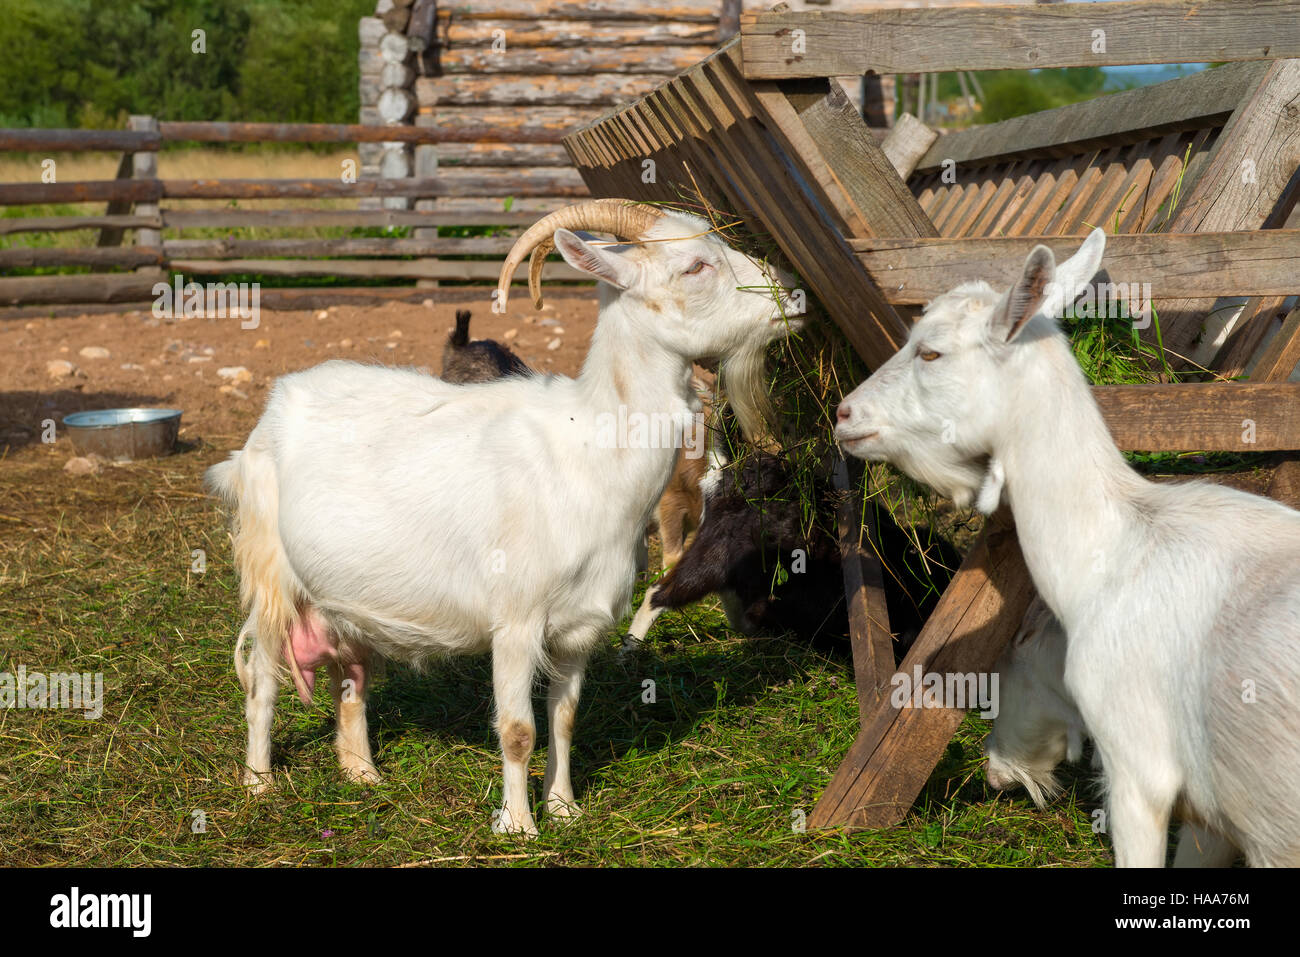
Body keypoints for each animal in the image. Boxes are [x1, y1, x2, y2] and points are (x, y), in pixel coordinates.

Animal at [206, 198, 799, 835]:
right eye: (695, 266)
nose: (793, 295)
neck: (590, 452)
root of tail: (275, 404)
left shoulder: (578, 628)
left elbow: (564, 718)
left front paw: (564, 808)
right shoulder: (515, 622)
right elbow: (518, 730)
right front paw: (518, 826)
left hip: (347, 593)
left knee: (352, 678)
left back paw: (363, 773)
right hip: (271, 570)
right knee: (262, 678)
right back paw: (259, 781)